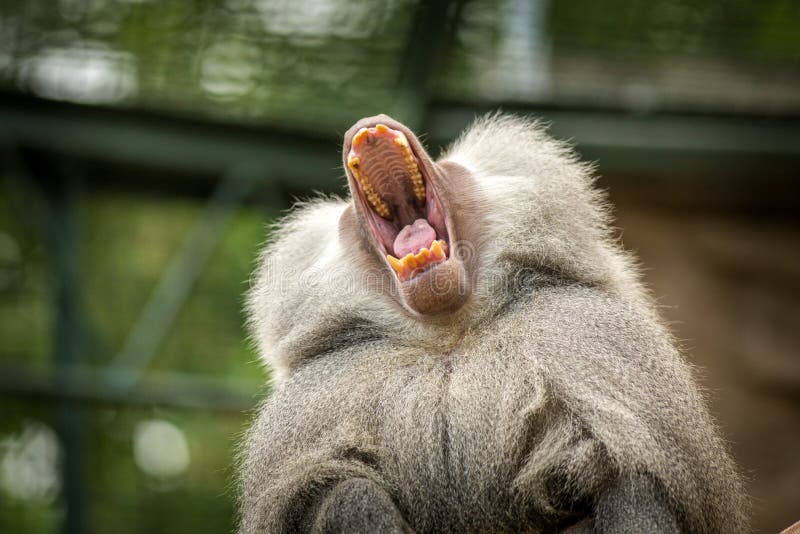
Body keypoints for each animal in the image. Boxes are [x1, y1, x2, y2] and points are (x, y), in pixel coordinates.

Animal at [239, 113, 748, 533]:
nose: (367, 123)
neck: (452, 335)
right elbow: (334, 490)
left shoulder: (591, 338)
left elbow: (621, 475)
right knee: (352, 497)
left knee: (635, 490)